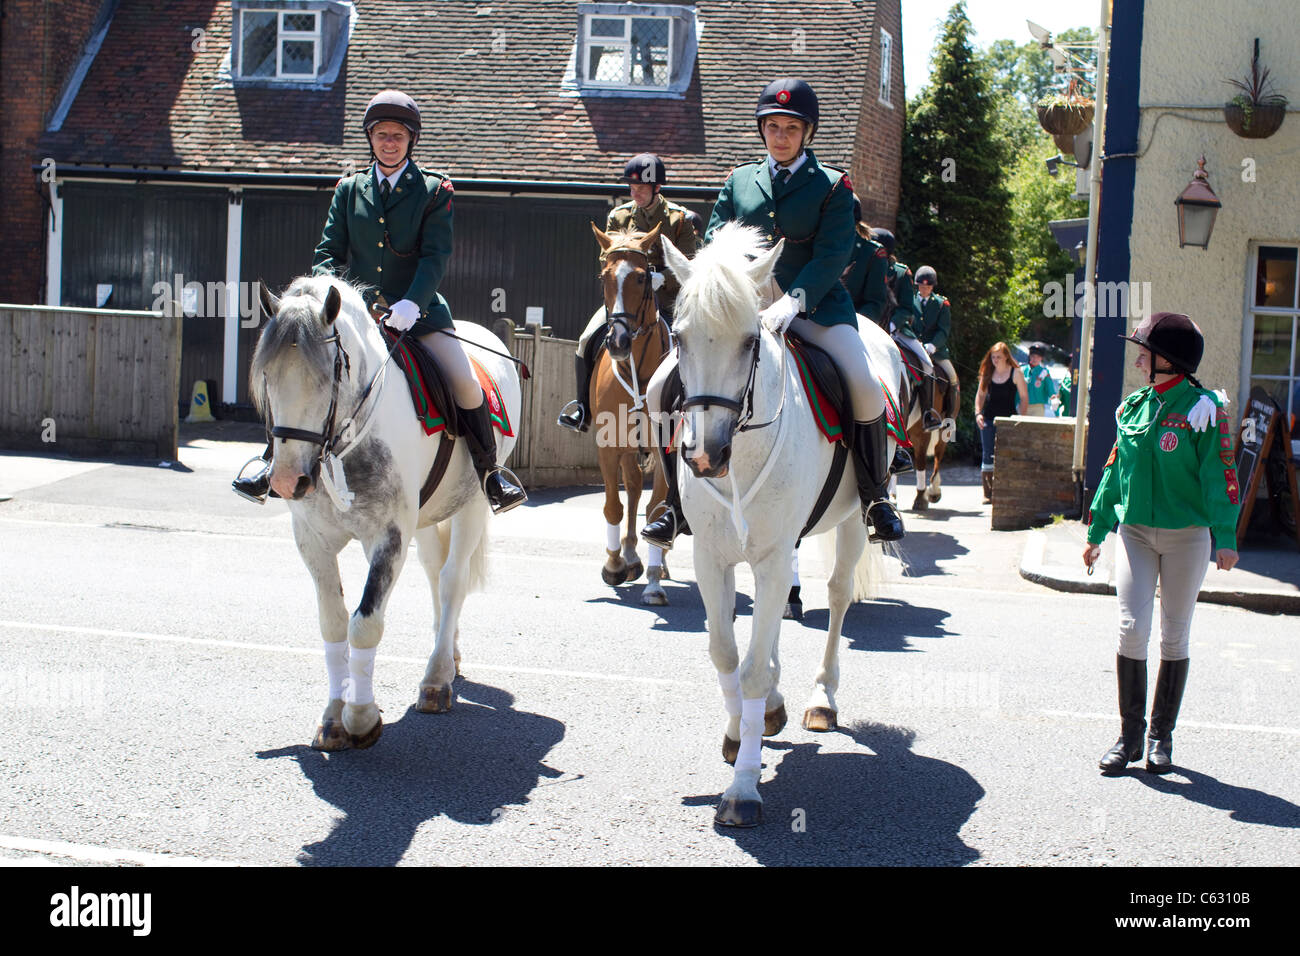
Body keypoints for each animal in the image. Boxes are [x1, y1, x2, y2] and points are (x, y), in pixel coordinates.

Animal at [251, 275, 522, 750]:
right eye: (268, 376)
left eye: (327, 377)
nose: (286, 481)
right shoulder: (313, 540)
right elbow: (334, 623)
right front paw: (333, 717)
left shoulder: (389, 536)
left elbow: (365, 623)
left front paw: (360, 718)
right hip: (429, 514)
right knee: (435, 572)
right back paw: (448, 653)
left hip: (471, 505)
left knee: (452, 580)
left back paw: (436, 678)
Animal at [659, 223, 895, 827]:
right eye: (679, 338)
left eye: (750, 341)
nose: (705, 455)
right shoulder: (712, 558)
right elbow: (726, 653)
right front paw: (736, 732)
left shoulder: (765, 556)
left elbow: (750, 668)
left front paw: (743, 788)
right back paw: (769, 709)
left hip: (851, 524)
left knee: (835, 597)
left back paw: (820, 699)